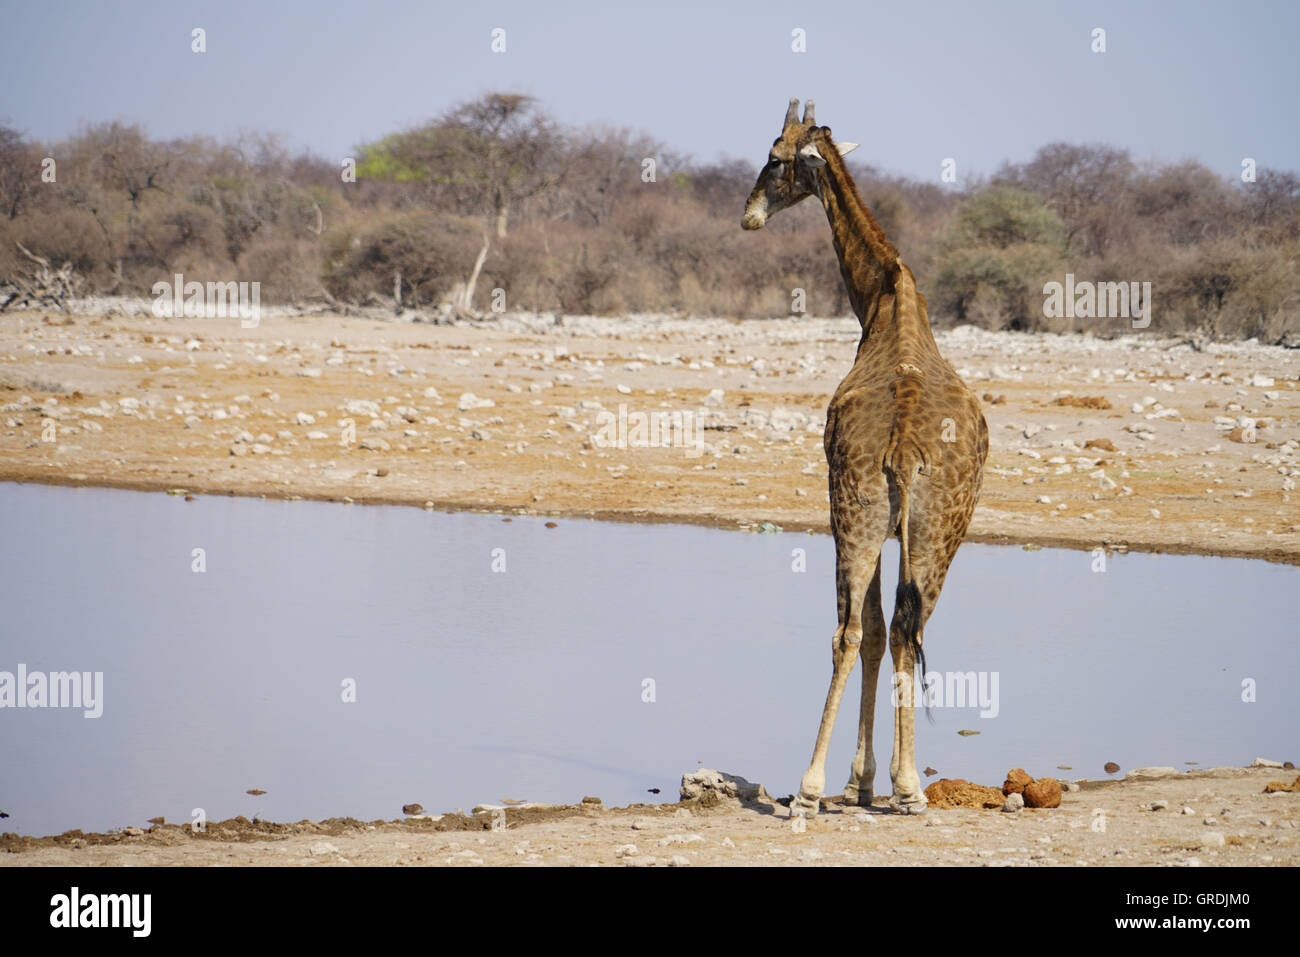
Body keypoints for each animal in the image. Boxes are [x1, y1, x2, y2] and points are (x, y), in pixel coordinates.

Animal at [742, 99, 989, 815]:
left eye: (775, 158)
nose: (749, 215)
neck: (881, 296)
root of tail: (905, 447)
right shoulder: (901, 531)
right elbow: (893, 632)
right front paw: (882, 779)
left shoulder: (859, 514)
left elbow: (870, 631)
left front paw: (857, 780)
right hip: (937, 529)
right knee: (913, 628)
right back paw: (912, 789)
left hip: (850, 511)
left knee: (849, 631)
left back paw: (809, 785)